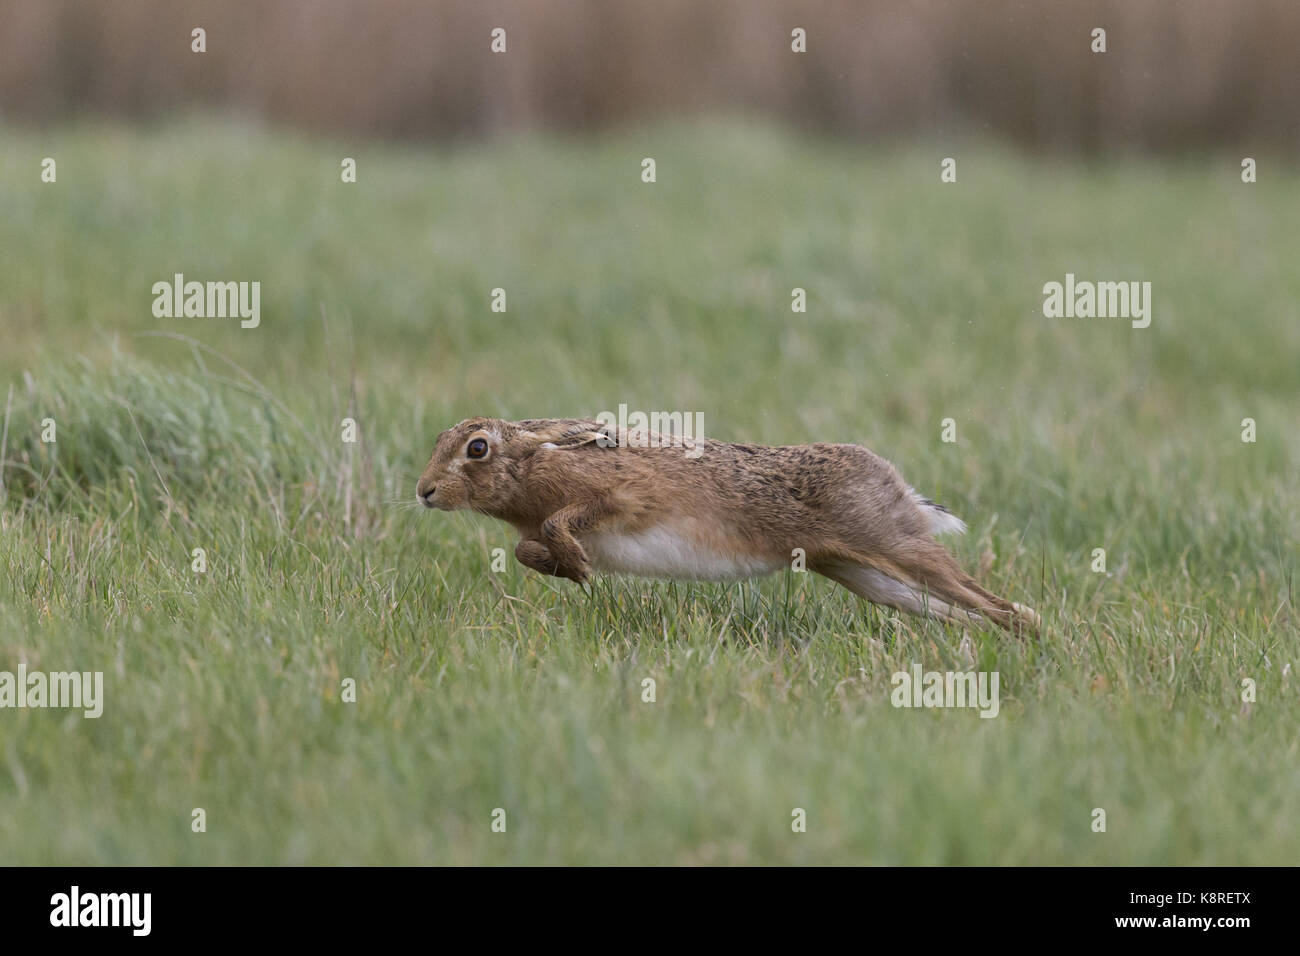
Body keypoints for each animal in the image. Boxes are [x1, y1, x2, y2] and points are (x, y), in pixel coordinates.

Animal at [416, 417, 1042, 636]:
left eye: (477, 448)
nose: (423, 492)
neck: (528, 464)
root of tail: (899, 486)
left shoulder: (621, 496)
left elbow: (557, 522)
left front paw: (577, 565)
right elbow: (527, 547)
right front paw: (571, 570)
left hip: (893, 545)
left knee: (996, 603)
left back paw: (1034, 639)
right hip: (859, 572)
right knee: (953, 608)